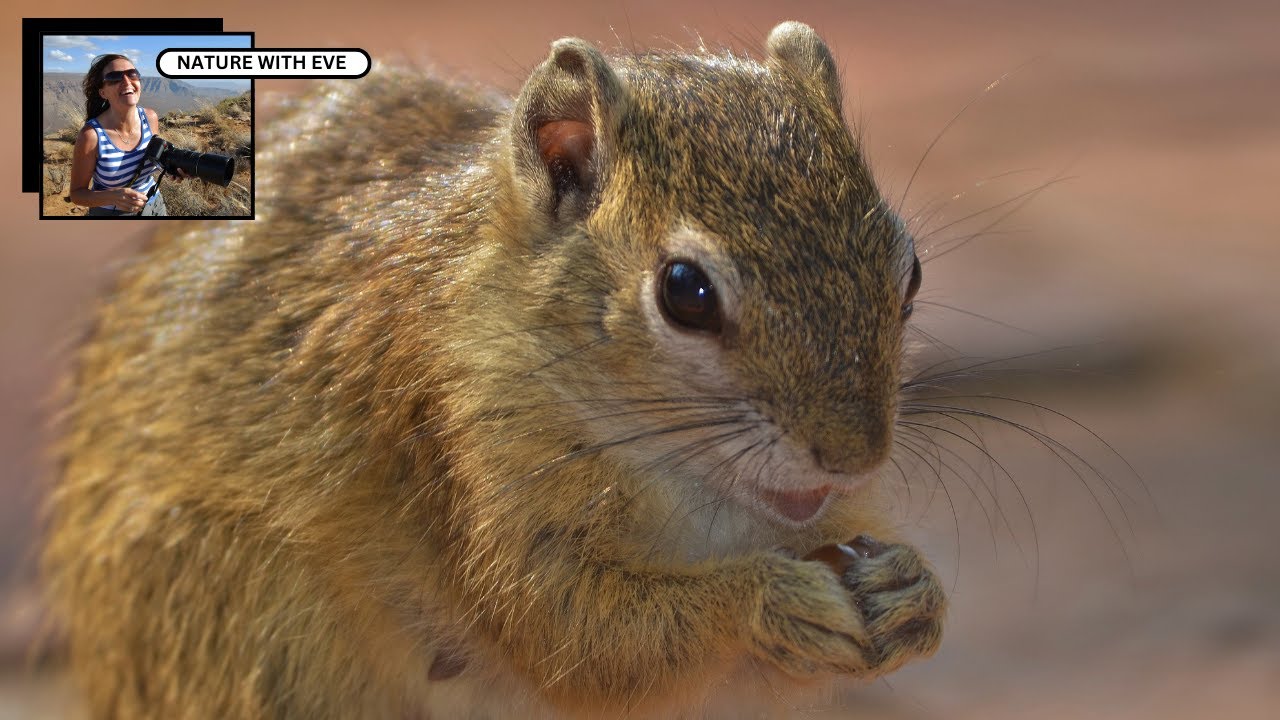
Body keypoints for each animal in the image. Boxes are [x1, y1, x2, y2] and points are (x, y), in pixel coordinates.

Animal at [43, 21, 945, 719]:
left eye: (910, 270)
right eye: (685, 292)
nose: (853, 456)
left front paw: (914, 592)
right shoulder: (457, 457)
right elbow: (576, 635)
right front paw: (767, 600)